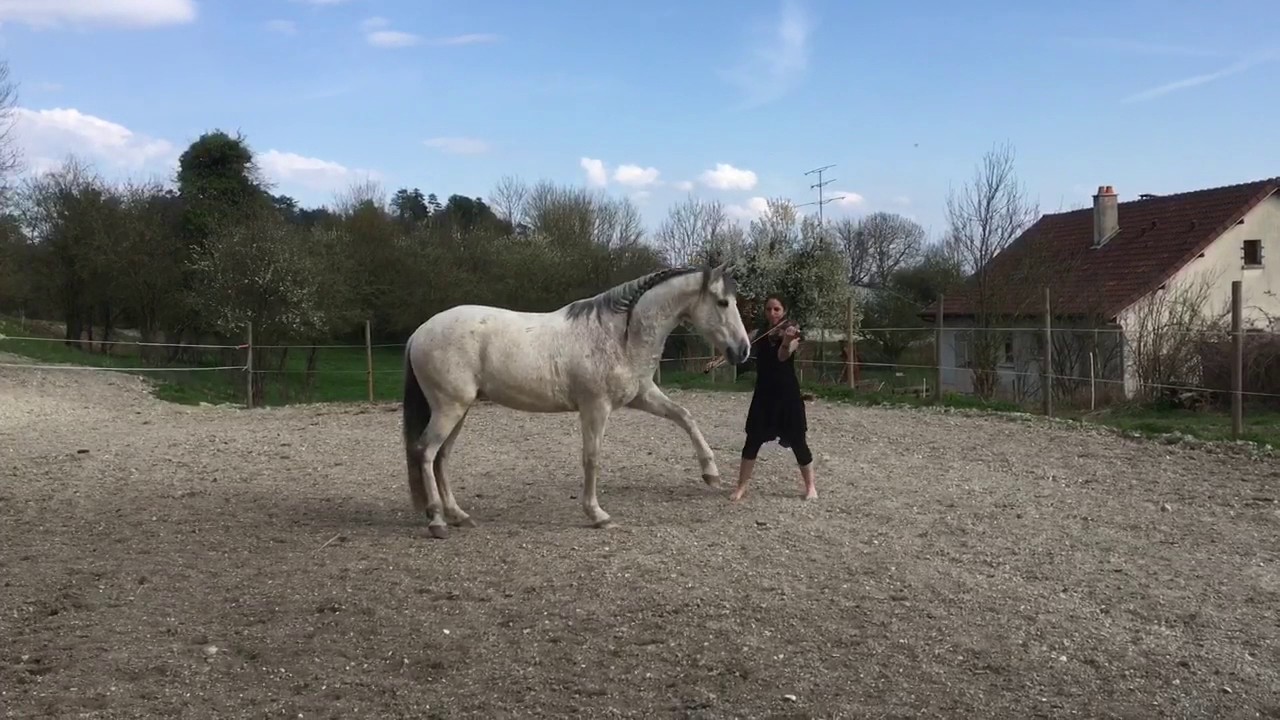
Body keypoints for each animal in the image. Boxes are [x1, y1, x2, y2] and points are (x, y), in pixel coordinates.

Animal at [401, 262, 753, 539]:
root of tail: (419, 333)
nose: (743, 350)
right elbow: (591, 457)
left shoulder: (643, 396)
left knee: (442, 457)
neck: (619, 334)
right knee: (426, 452)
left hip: (459, 410)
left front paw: (711, 473)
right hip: (449, 408)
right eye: (723, 302)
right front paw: (598, 515)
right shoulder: (595, 407)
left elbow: (684, 416)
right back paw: (437, 521)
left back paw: (458, 516)